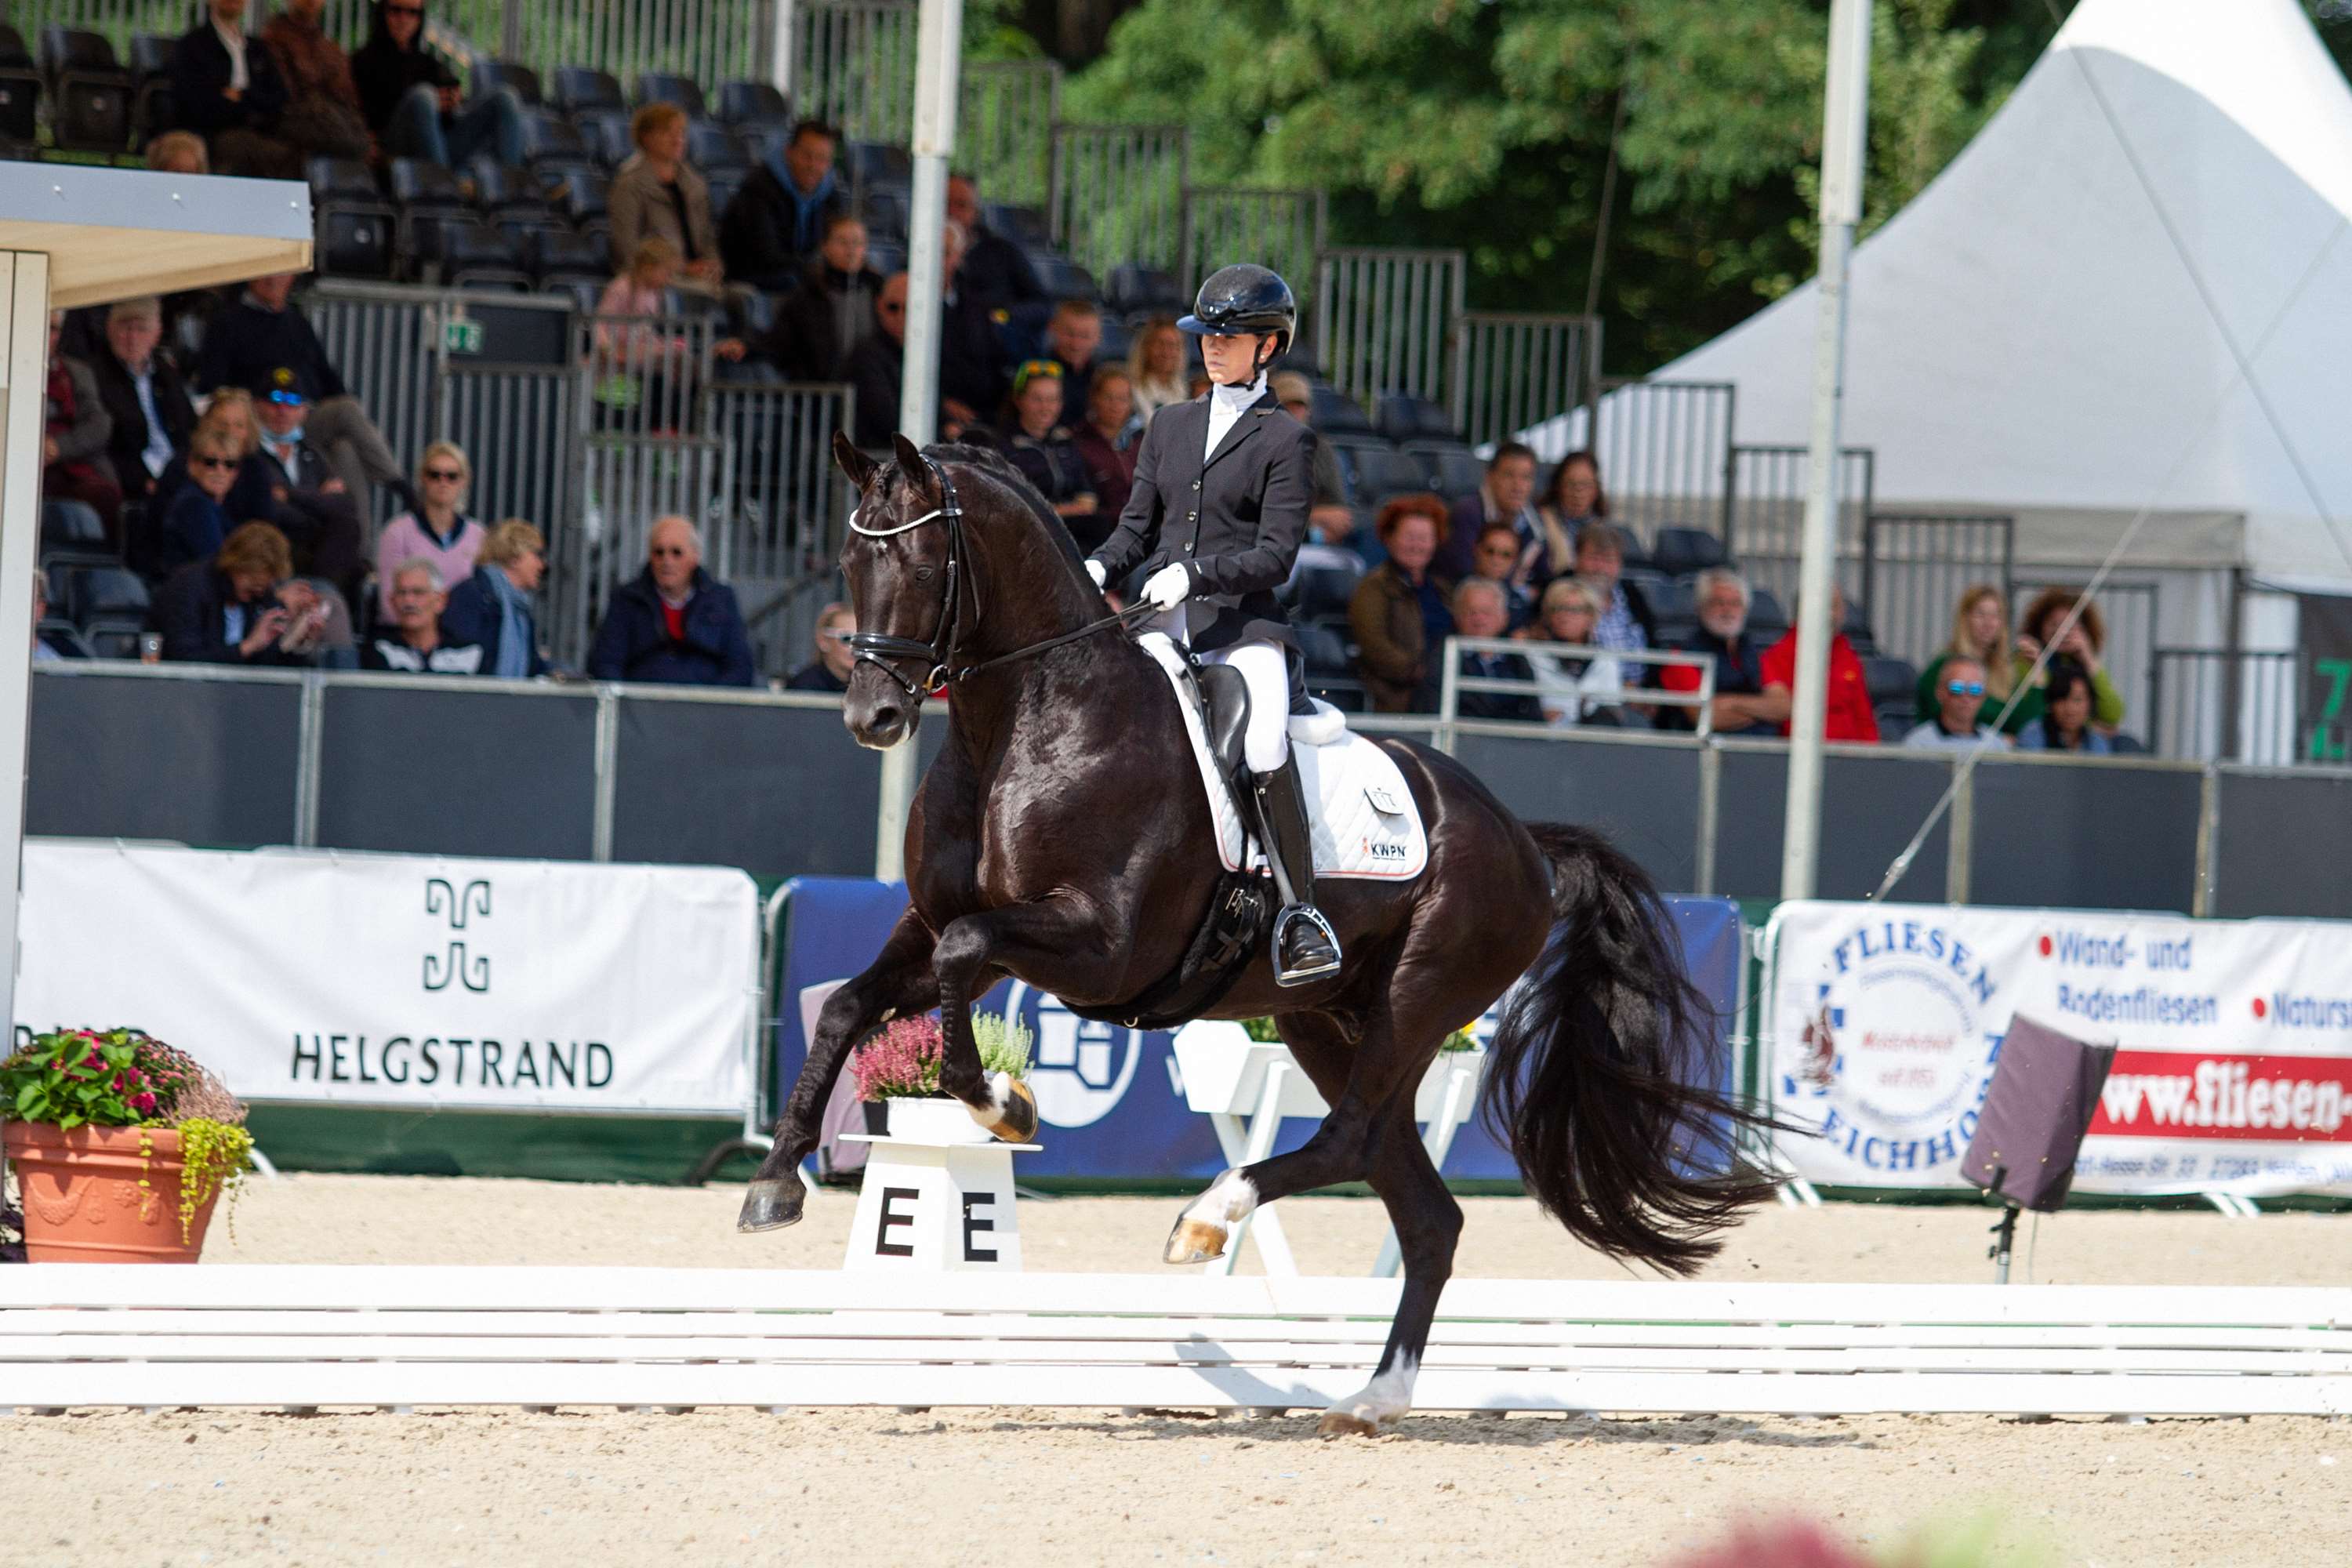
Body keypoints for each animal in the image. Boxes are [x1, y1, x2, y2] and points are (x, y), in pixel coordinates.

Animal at [739, 434, 1773, 1436]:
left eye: (919, 560)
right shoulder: (931, 924)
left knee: (1350, 1142)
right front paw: (778, 1181)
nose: (872, 715)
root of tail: (1521, 835)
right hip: (1327, 1019)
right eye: (848, 561)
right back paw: (1373, 1398)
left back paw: (1208, 1217)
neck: (1024, 724)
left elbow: (960, 964)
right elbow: (850, 1003)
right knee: (1423, 1209)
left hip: (1418, 997)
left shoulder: (1100, 946)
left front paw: (1005, 1104)